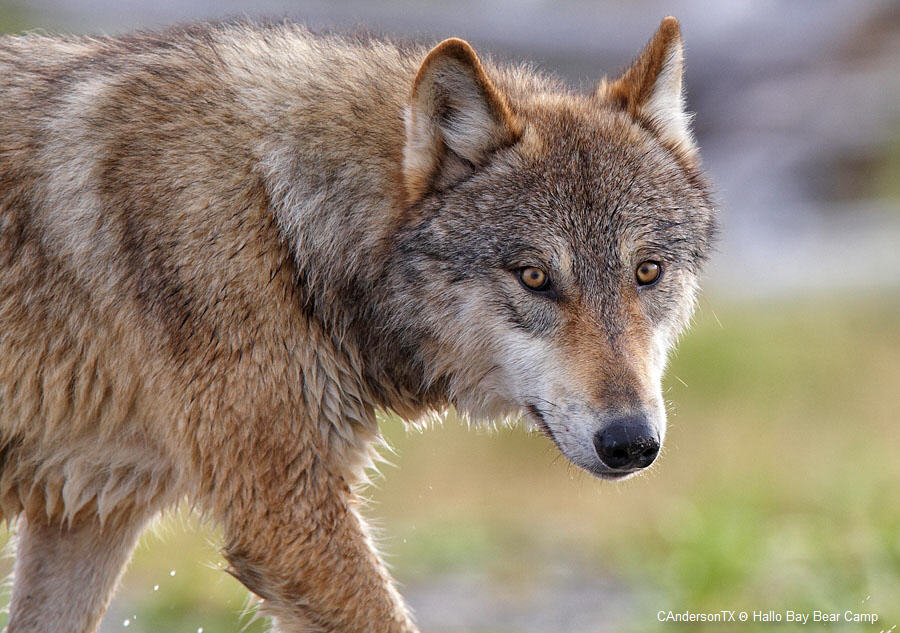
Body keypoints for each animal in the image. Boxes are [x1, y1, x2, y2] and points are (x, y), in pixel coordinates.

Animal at [0, 15, 715, 633]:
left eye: (647, 272)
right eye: (535, 277)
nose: (631, 442)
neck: (281, 213)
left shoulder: (90, 516)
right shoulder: (284, 517)